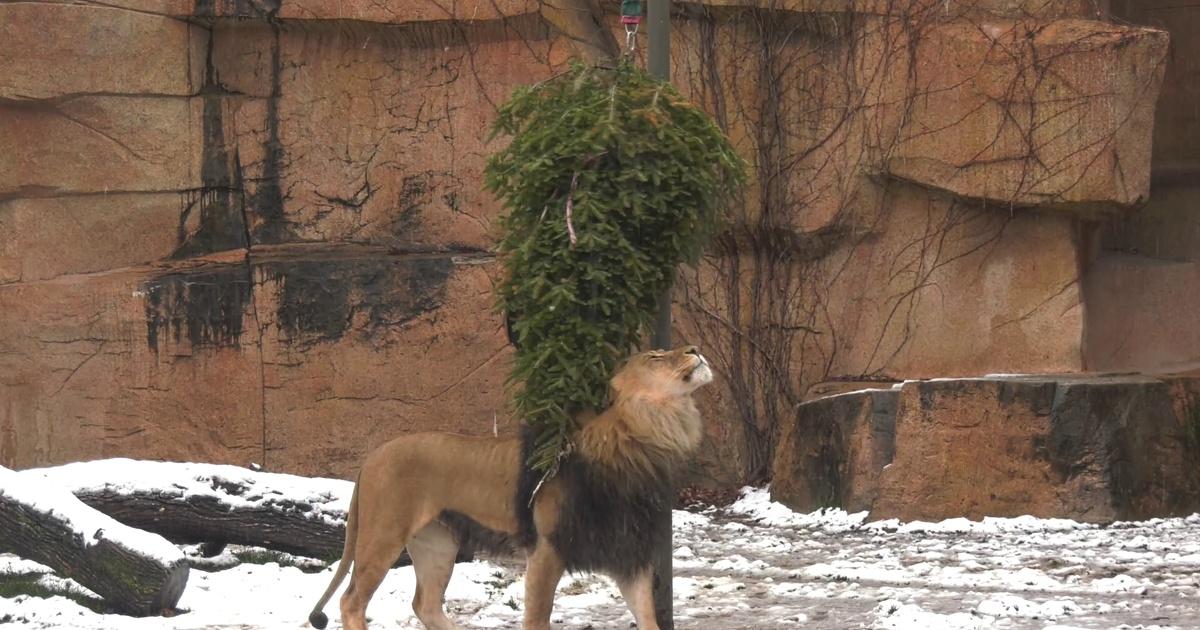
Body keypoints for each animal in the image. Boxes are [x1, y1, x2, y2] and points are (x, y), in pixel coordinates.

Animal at [307, 345, 713, 630]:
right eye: (656, 356)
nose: (694, 348)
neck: (647, 435)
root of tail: (372, 456)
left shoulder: (628, 555)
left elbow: (648, 618)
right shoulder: (547, 549)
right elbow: (537, 617)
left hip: (437, 545)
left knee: (425, 605)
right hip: (383, 536)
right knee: (352, 601)